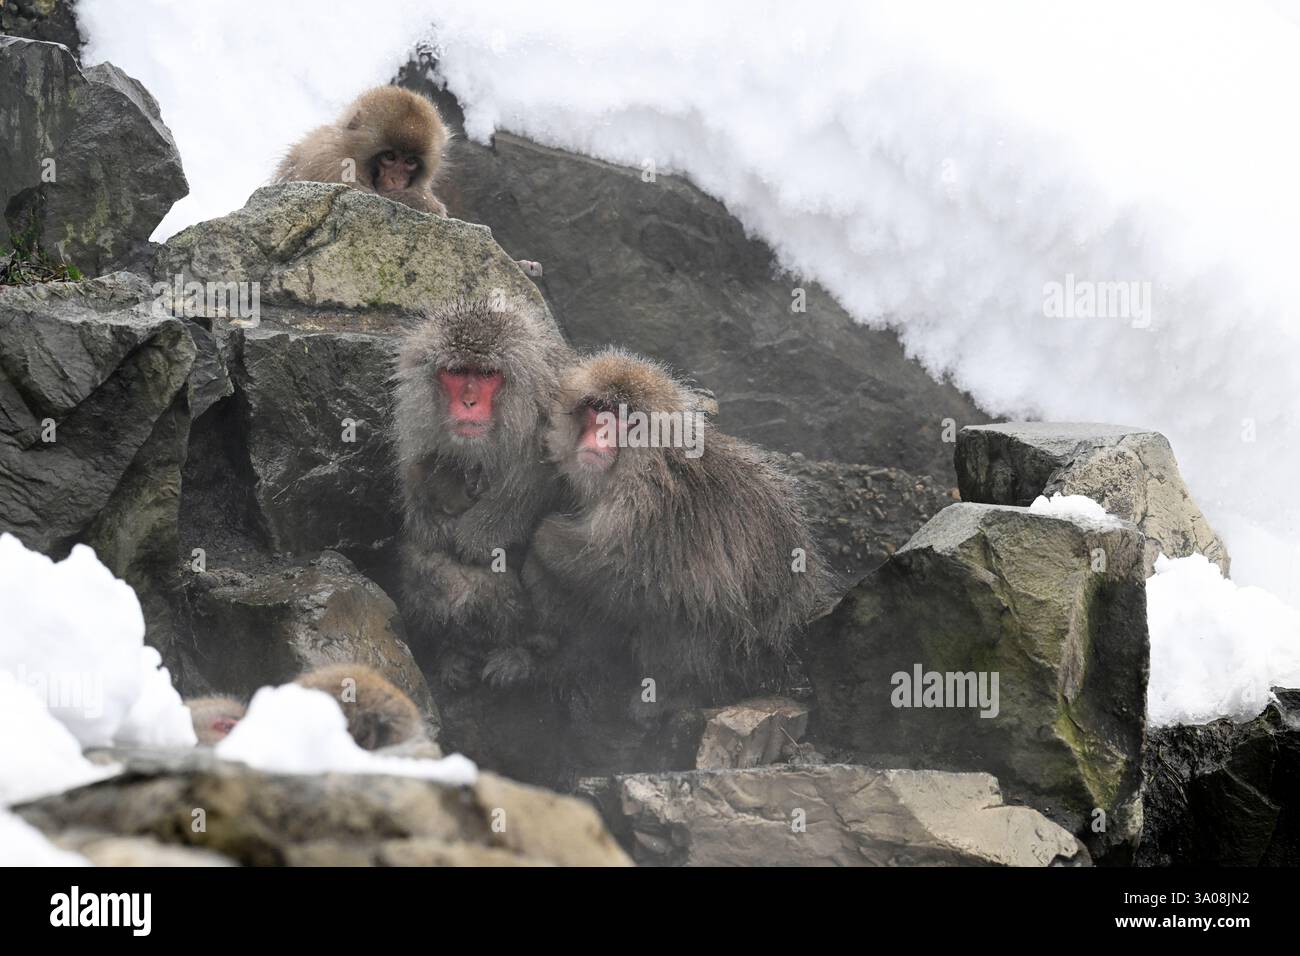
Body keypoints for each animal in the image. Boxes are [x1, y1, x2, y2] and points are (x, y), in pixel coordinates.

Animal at [393, 297, 573, 687]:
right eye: (459, 372)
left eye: (488, 375)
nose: (469, 403)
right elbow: (423, 519)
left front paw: (478, 534)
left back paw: (521, 653)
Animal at [521, 348, 831, 695]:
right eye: (599, 409)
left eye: (625, 419)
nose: (600, 434)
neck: (648, 462)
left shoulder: (644, 507)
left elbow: (633, 577)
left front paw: (545, 537)